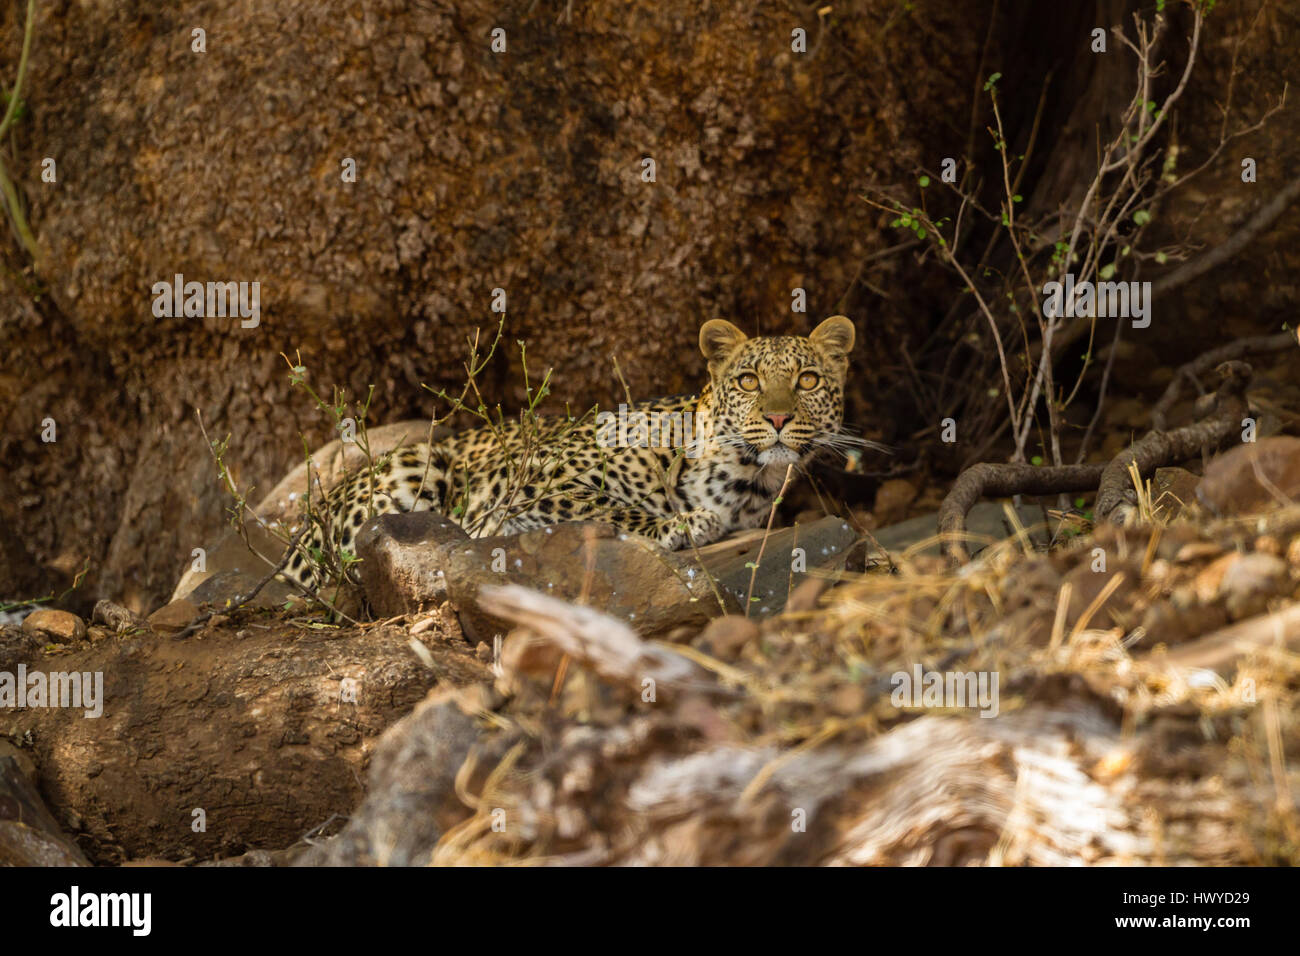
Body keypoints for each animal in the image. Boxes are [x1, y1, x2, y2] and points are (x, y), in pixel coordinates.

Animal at [280, 315, 868, 591]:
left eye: (808, 379)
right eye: (748, 381)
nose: (778, 419)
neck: (744, 480)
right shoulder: (531, 482)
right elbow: (601, 504)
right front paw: (682, 523)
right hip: (416, 467)